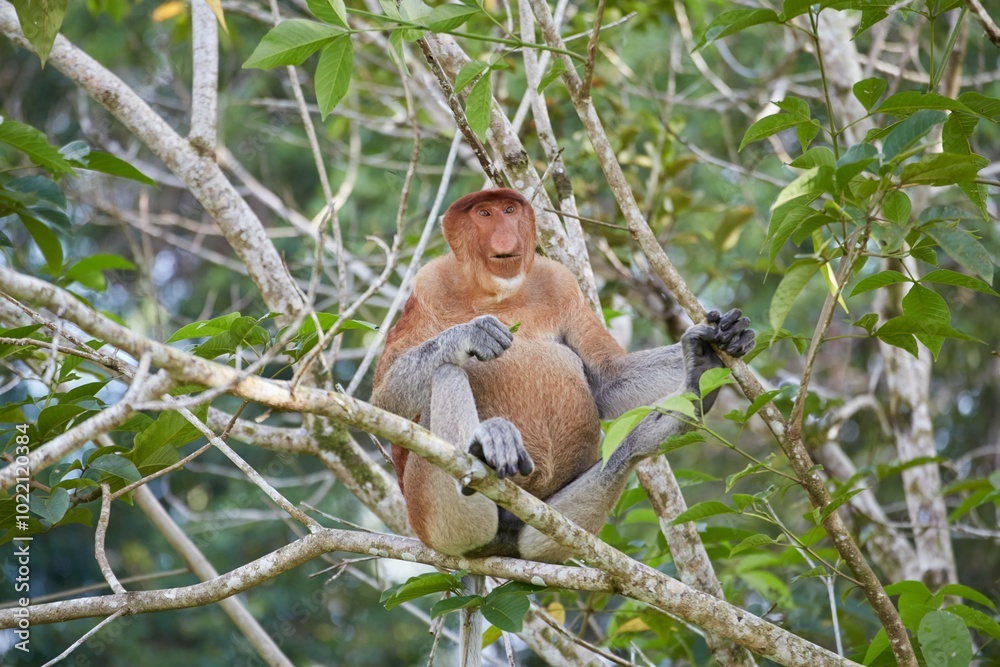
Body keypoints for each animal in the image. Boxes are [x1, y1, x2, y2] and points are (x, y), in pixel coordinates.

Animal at [371, 188, 754, 563]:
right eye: (483, 213)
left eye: (509, 210)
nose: (505, 235)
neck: (497, 292)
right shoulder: (427, 286)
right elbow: (385, 399)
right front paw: (473, 333)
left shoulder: (561, 283)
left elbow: (609, 379)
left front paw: (726, 338)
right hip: (432, 515)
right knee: (446, 371)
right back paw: (481, 449)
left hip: (549, 526)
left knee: (626, 453)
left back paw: (696, 386)